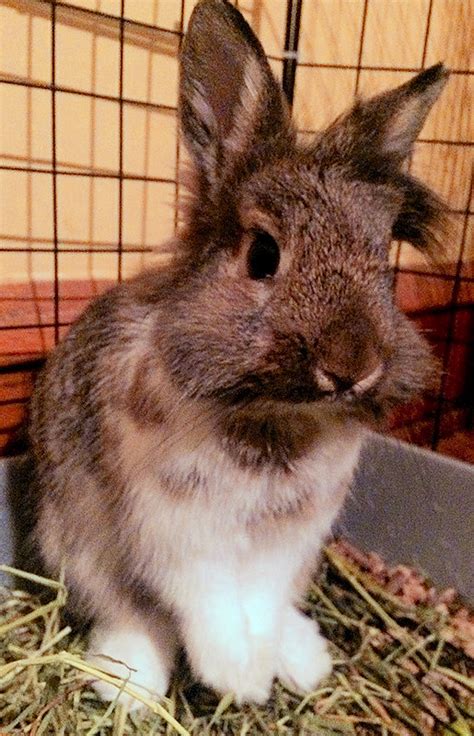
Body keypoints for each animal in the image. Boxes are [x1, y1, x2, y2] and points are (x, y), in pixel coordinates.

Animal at [29, 0, 449, 709]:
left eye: (386, 262)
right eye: (262, 255)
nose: (353, 367)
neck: (276, 417)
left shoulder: (291, 539)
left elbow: (262, 602)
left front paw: (261, 670)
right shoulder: (177, 531)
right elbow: (212, 606)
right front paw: (239, 679)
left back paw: (304, 658)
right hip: (76, 540)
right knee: (129, 612)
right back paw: (130, 683)